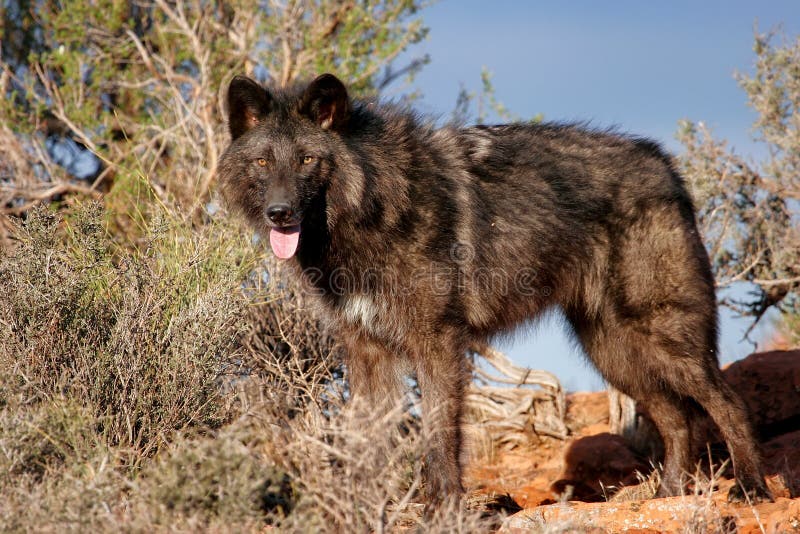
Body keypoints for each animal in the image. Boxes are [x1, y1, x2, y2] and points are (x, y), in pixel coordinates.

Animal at [217, 73, 771, 505]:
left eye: (307, 160)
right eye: (263, 162)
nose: (279, 213)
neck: (375, 206)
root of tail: (665, 162)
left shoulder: (438, 343)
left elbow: (439, 439)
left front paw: (442, 510)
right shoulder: (368, 353)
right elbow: (366, 447)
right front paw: (360, 508)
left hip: (662, 340)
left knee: (727, 405)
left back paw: (751, 488)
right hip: (614, 353)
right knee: (677, 420)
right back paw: (667, 497)